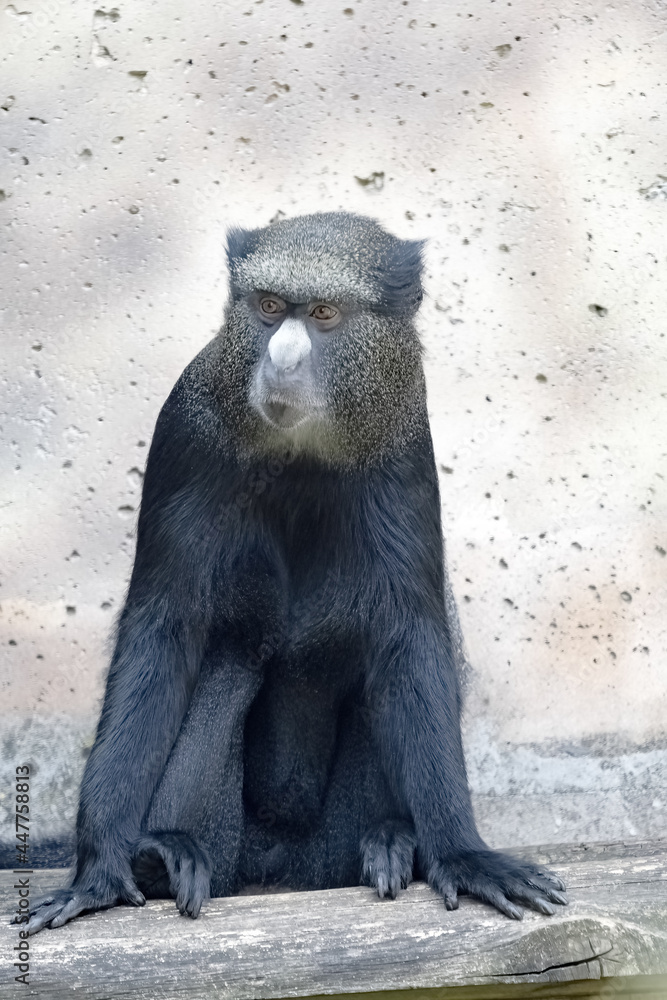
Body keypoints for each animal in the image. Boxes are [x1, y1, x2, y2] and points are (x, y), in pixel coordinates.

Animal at [22, 212, 567, 934]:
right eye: (269, 306)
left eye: (325, 314)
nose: (280, 358)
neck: (299, 454)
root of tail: (278, 864)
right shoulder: (186, 432)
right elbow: (162, 627)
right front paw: (99, 871)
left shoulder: (403, 444)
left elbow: (411, 636)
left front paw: (462, 852)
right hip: (232, 842)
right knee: (227, 661)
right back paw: (162, 855)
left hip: (326, 849)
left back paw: (392, 841)